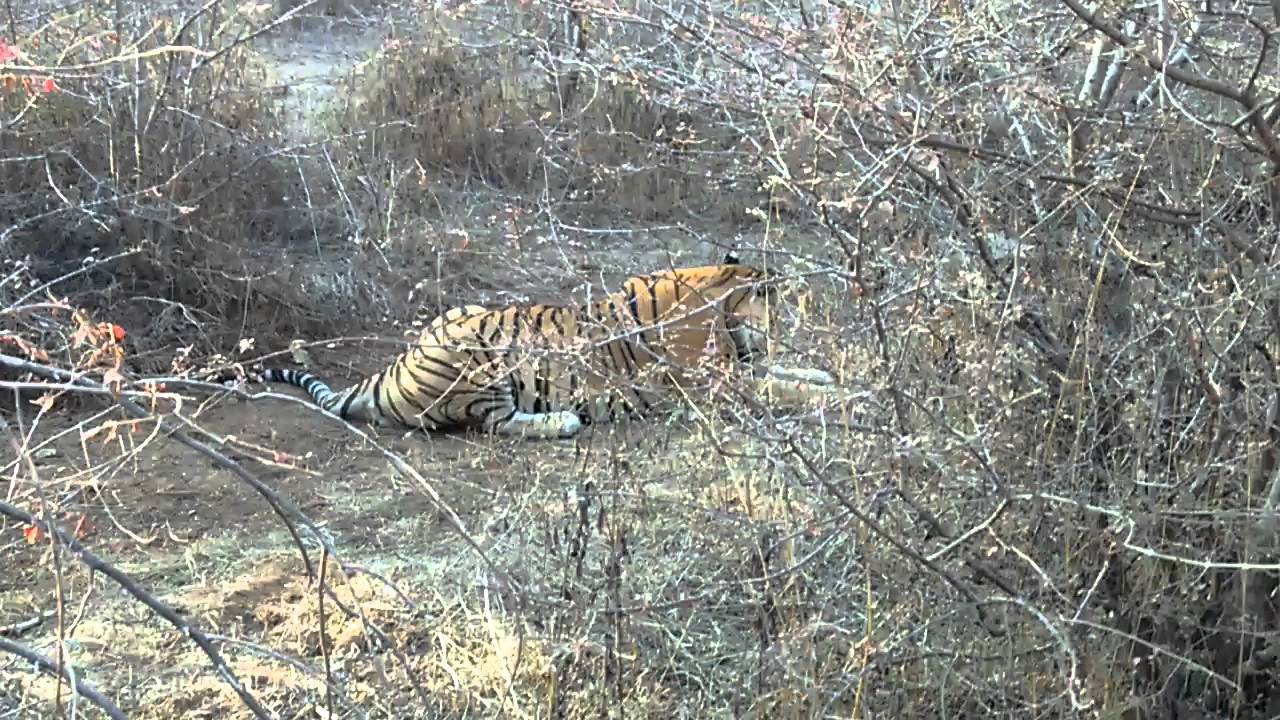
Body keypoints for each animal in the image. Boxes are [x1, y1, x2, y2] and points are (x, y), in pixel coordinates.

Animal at [255, 254, 835, 439]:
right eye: (774, 313)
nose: (780, 334)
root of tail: (394, 370)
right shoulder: (721, 384)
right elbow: (784, 389)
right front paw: (837, 391)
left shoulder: (740, 370)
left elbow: (789, 376)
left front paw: (822, 374)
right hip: (481, 363)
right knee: (496, 424)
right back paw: (563, 421)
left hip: (460, 314)